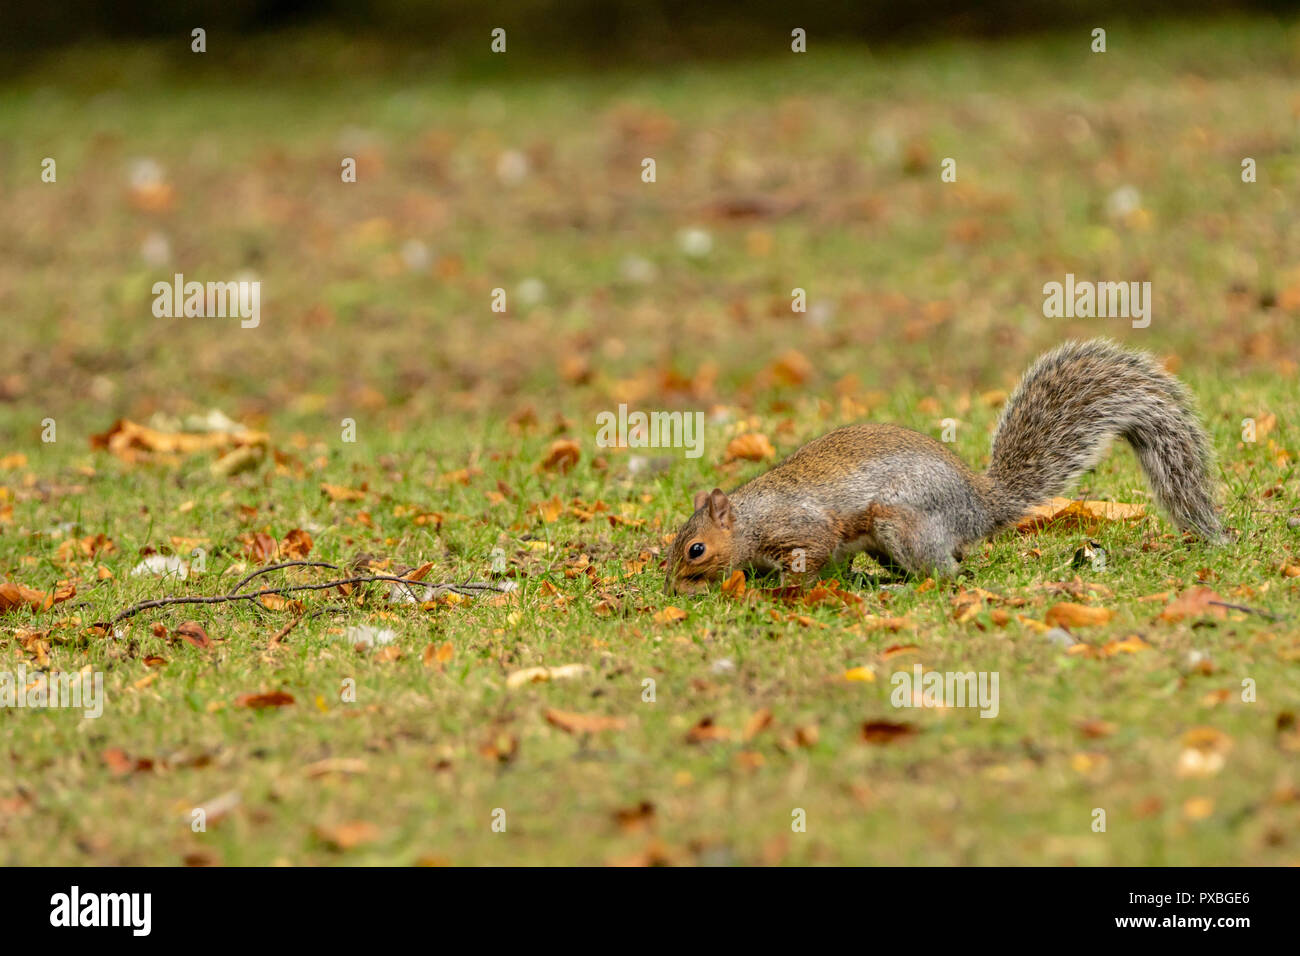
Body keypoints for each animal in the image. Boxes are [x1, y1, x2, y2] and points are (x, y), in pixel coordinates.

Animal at [665, 339, 1224, 594]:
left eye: (695, 550)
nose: (672, 587)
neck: (750, 518)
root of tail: (981, 505)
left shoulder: (801, 529)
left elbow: (813, 558)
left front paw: (781, 589)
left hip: (903, 522)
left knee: (944, 572)